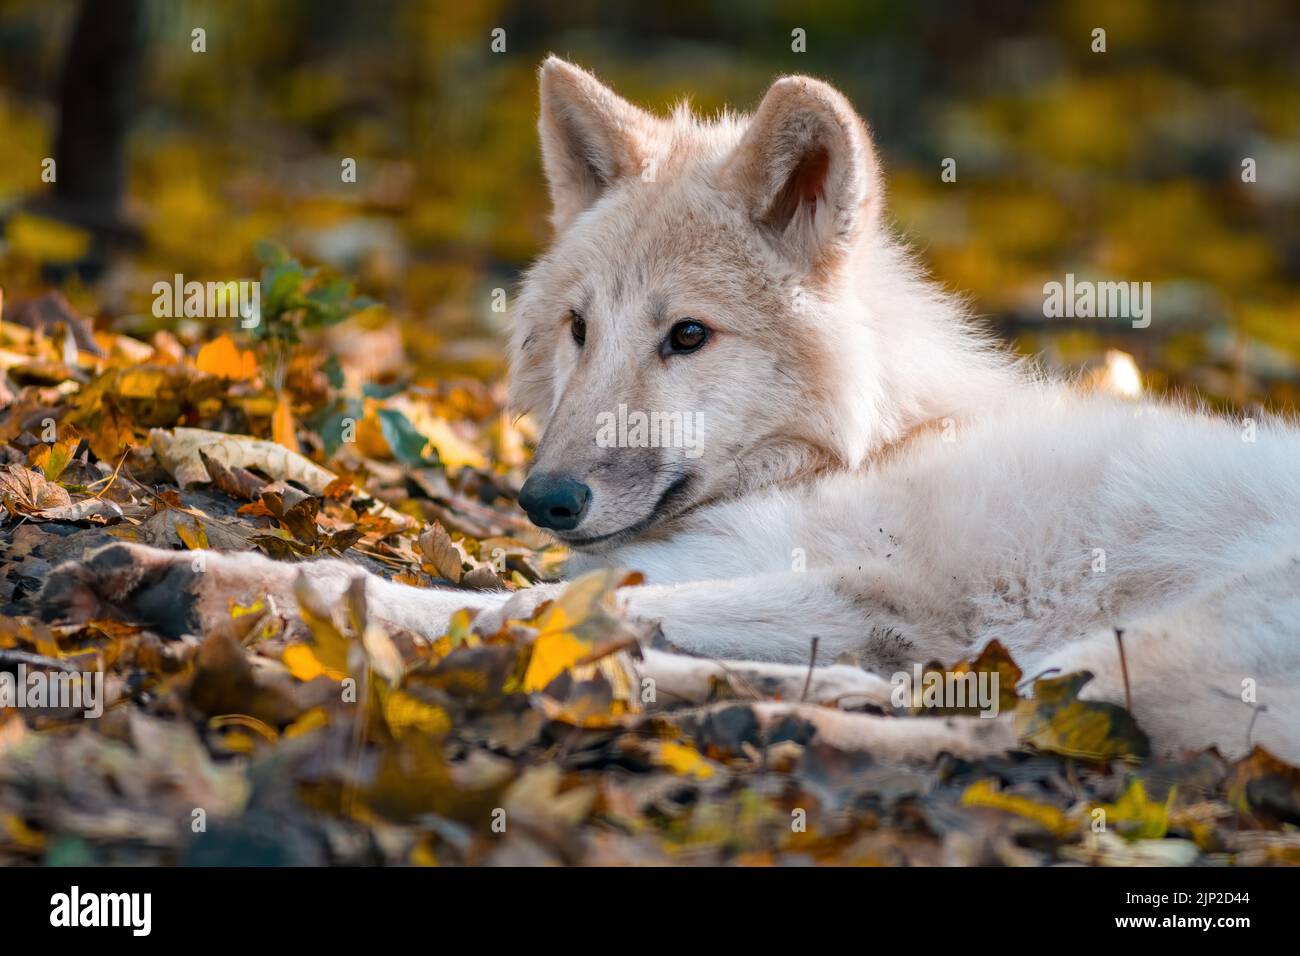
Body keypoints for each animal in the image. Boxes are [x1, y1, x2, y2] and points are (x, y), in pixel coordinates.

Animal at [40, 58, 1300, 761]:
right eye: (578, 329)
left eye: (687, 335)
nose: (545, 499)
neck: (869, 439)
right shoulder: (826, 593)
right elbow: (540, 600)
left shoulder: (851, 579)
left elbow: (488, 600)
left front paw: (208, 582)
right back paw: (732, 710)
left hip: (1141, 642)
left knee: (1022, 725)